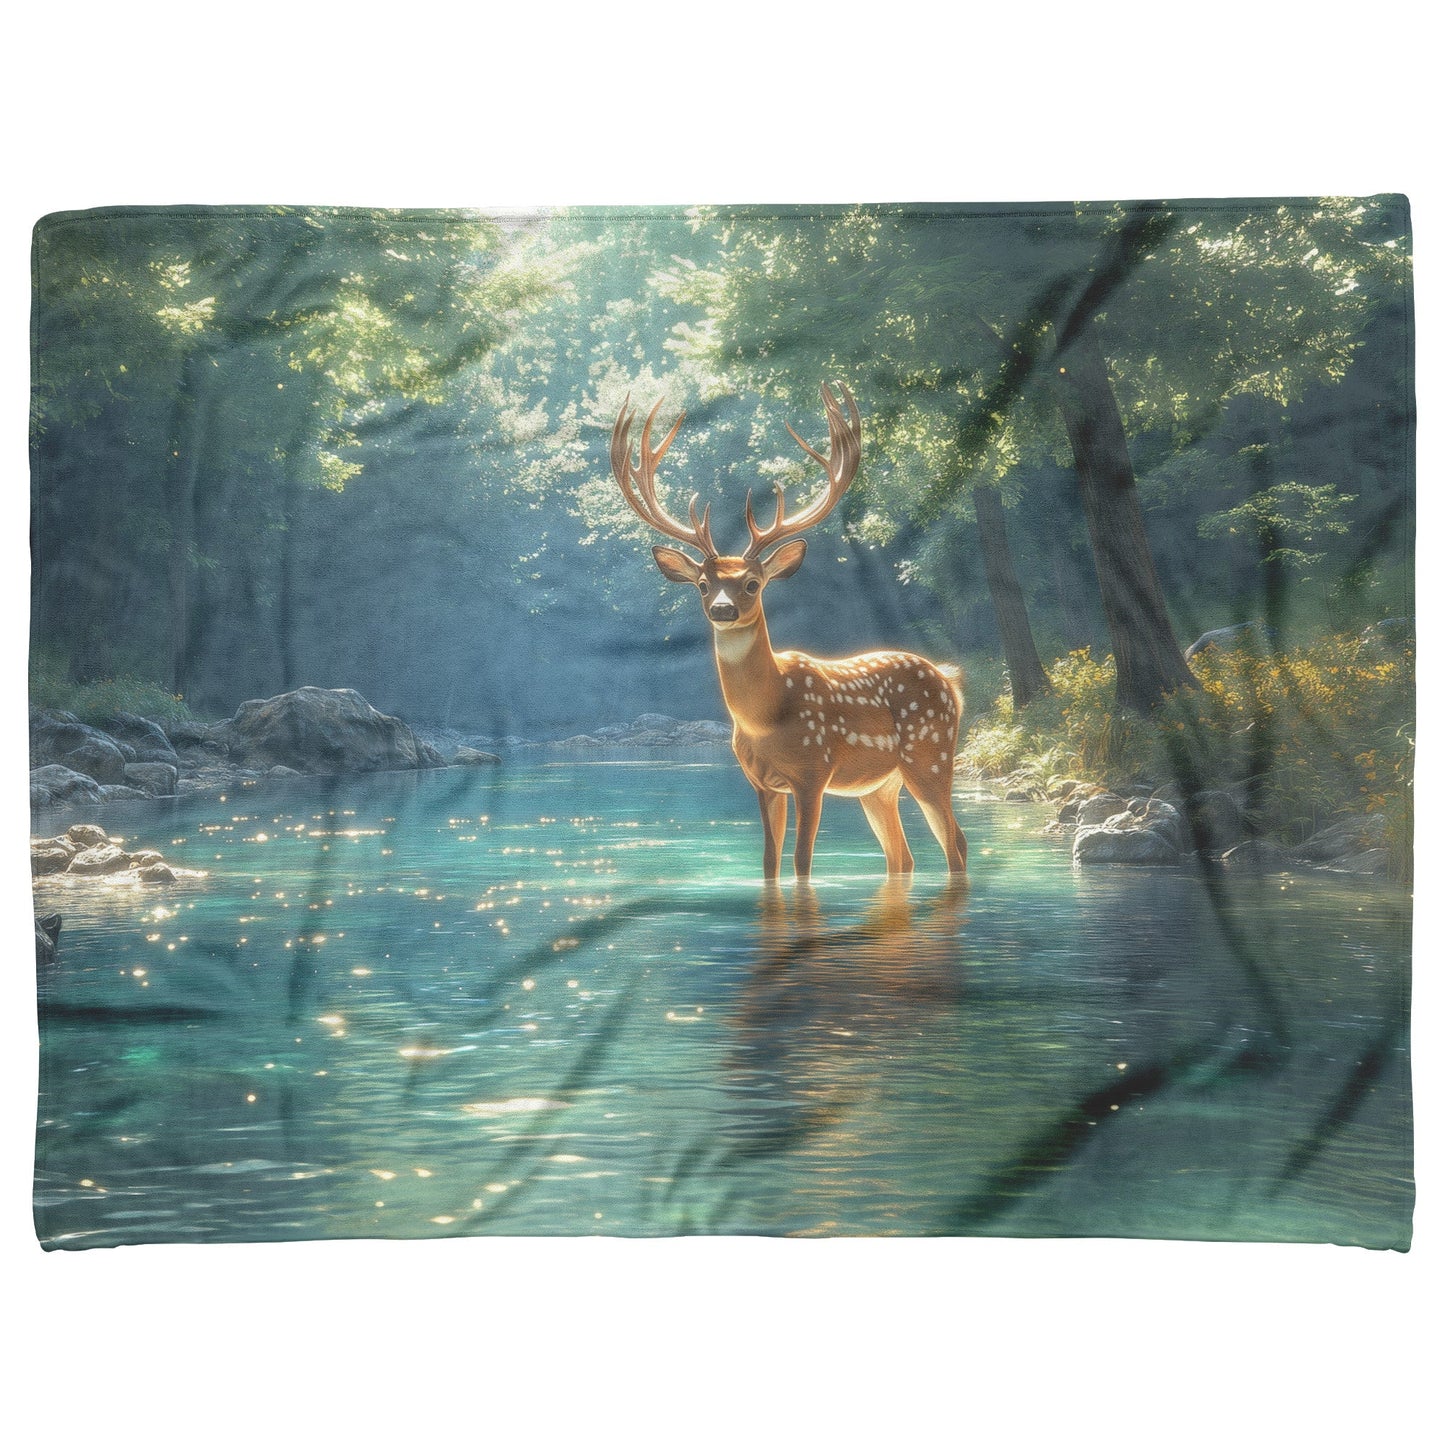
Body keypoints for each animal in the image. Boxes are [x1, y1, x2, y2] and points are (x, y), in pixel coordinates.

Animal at [610, 382, 968, 881]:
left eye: (752, 583)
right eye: (702, 585)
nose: (722, 609)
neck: (766, 714)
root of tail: (949, 680)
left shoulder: (813, 772)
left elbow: (801, 863)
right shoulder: (762, 783)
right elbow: (769, 863)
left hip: (930, 755)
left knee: (955, 845)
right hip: (878, 786)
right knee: (906, 855)